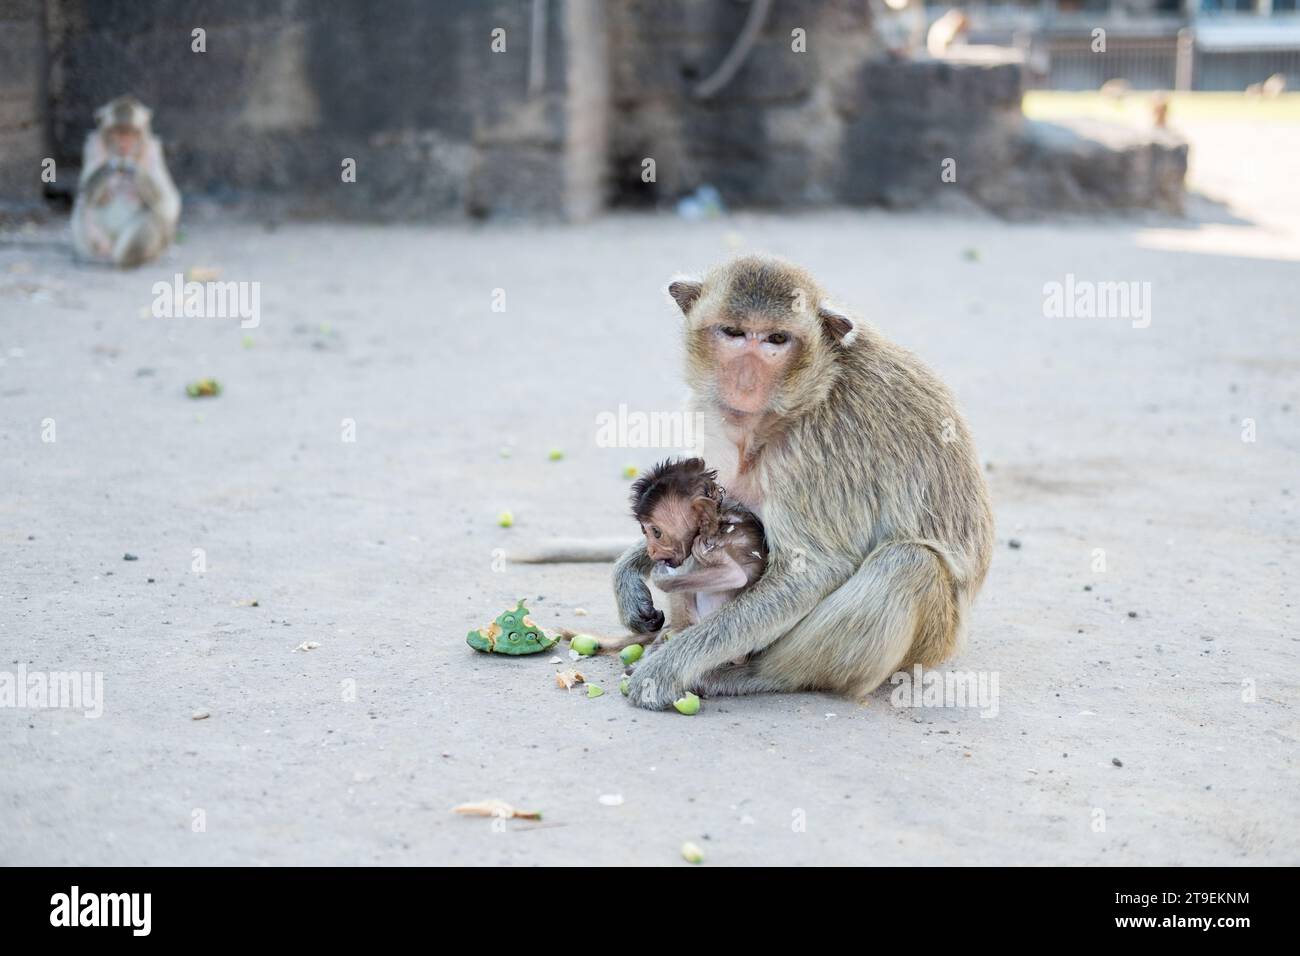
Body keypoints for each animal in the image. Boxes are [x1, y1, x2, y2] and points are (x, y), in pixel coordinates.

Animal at [72, 95, 181, 269]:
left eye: (131, 133)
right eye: (117, 132)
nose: (124, 145)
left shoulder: (154, 149)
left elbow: (169, 203)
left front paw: (131, 167)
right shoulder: (91, 145)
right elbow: (84, 192)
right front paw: (113, 164)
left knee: (155, 214)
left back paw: (128, 260)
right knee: (82, 206)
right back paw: (92, 258)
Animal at [614, 255, 994, 710]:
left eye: (776, 339)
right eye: (734, 333)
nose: (745, 380)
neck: (805, 393)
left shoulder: (818, 449)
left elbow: (809, 570)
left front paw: (668, 669)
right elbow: (714, 503)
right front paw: (630, 571)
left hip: (931, 640)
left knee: (908, 563)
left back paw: (752, 676)